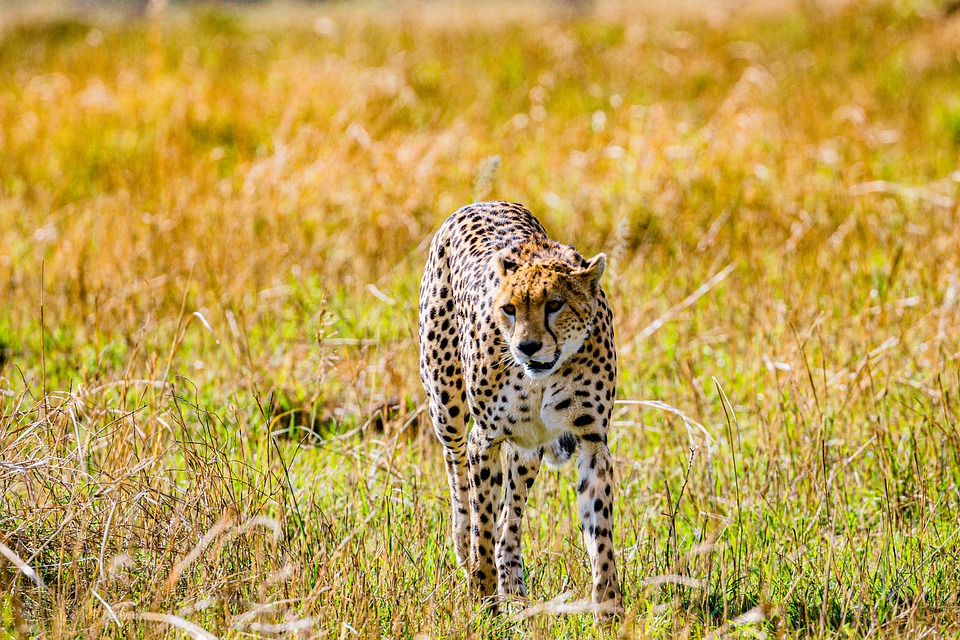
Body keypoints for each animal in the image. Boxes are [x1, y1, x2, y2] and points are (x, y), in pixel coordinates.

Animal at [418, 201, 622, 617]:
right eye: (509, 309)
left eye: (555, 305)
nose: (527, 346)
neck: (541, 377)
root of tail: (482, 202)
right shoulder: (485, 439)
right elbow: (481, 520)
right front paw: (483, 601)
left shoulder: (592, 441)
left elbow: (600, 531)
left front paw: (610, 610)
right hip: (447, 407)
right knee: (457, 472)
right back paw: (464, 550)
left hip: (530, 448)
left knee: (510, 515)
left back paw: (513, 585)